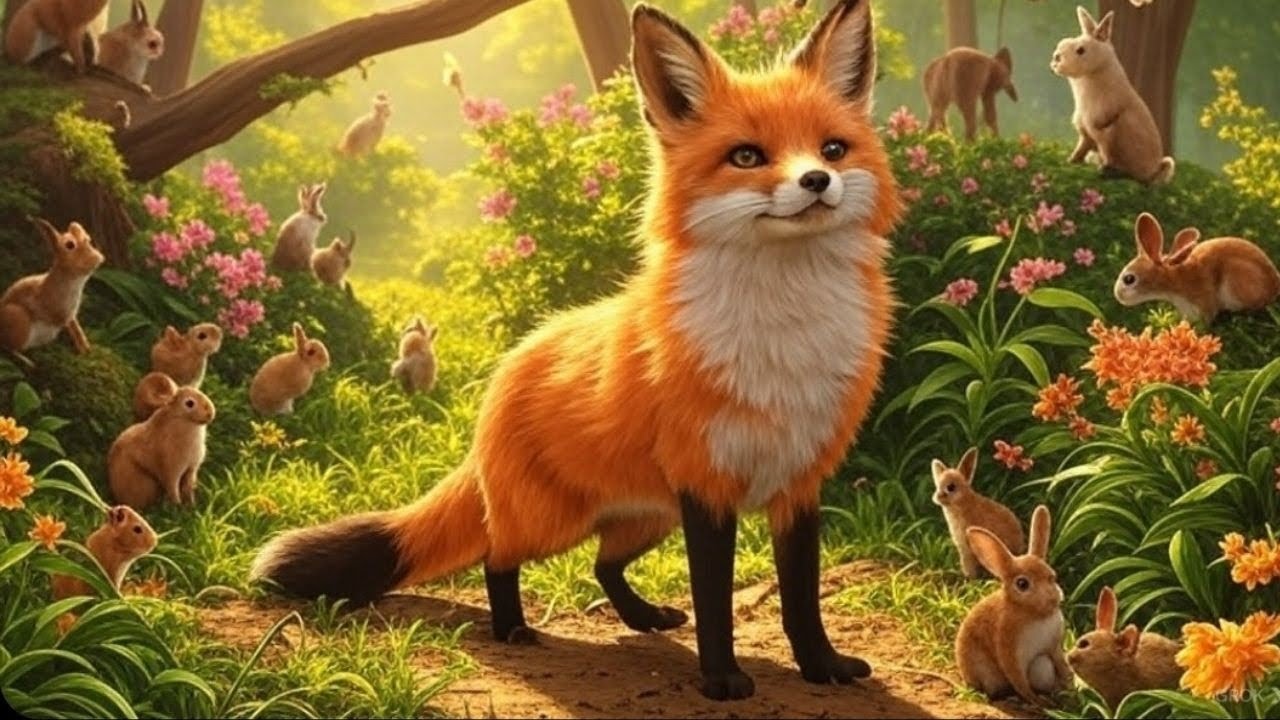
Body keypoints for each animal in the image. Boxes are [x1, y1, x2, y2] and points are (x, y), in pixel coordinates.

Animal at [251, 0, 900, 702]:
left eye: (832, 148)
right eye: (747, 155)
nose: (817, 179)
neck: (784, 336)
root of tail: (509, 369)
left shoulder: (799, 483)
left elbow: (801, 598)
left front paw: (823, 668)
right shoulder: (705, 488)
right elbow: (714, 602)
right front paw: (722, 678)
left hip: (646, 519)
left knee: (601, 566)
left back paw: (642, 618)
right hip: (555, 523)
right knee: (497, 555)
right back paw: (512, 628)